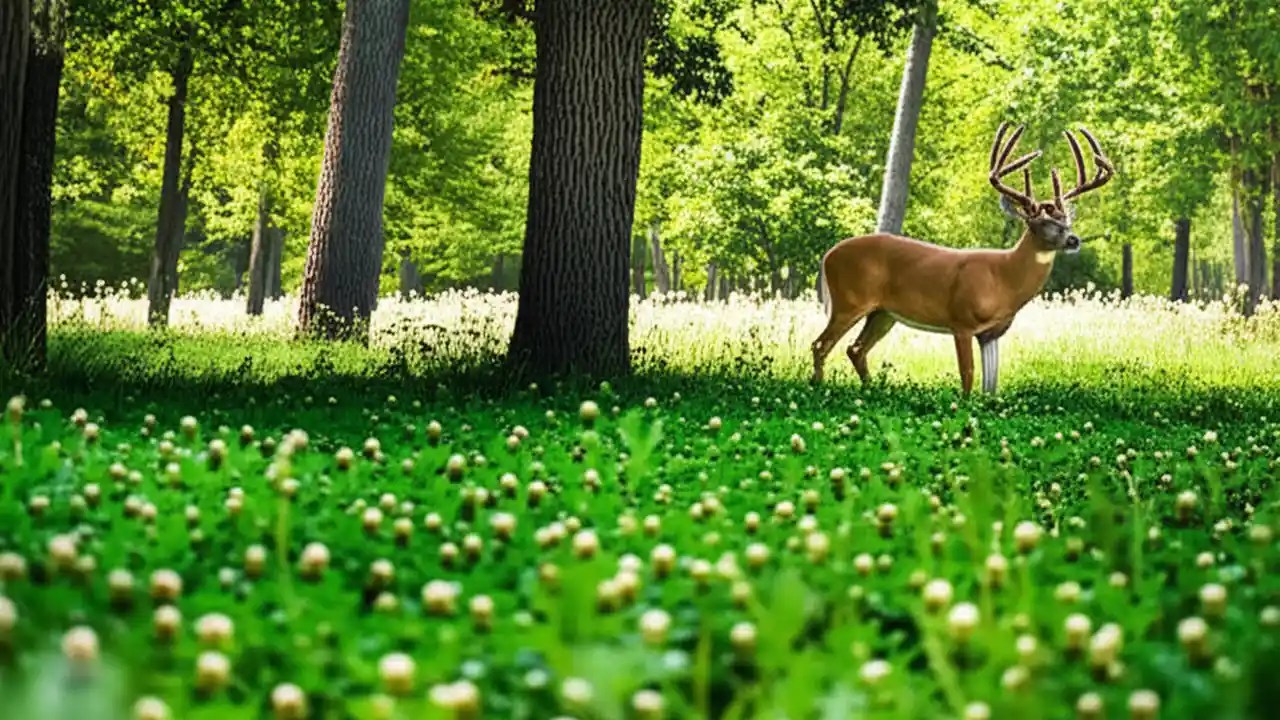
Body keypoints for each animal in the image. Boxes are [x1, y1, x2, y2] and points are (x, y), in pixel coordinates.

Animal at [811, 122, 1114, 395]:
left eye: (1066, 221)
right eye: (1041, 222)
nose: (1073, 240)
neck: (1004, 279)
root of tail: (827, 255)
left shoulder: (992, 333)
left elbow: (990, 386)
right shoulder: (962, 321)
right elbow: (967, 374)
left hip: (883, 313)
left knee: (855, 349)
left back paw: (871, 390)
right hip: (849, 300)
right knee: (821, 345)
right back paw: (818, 388)